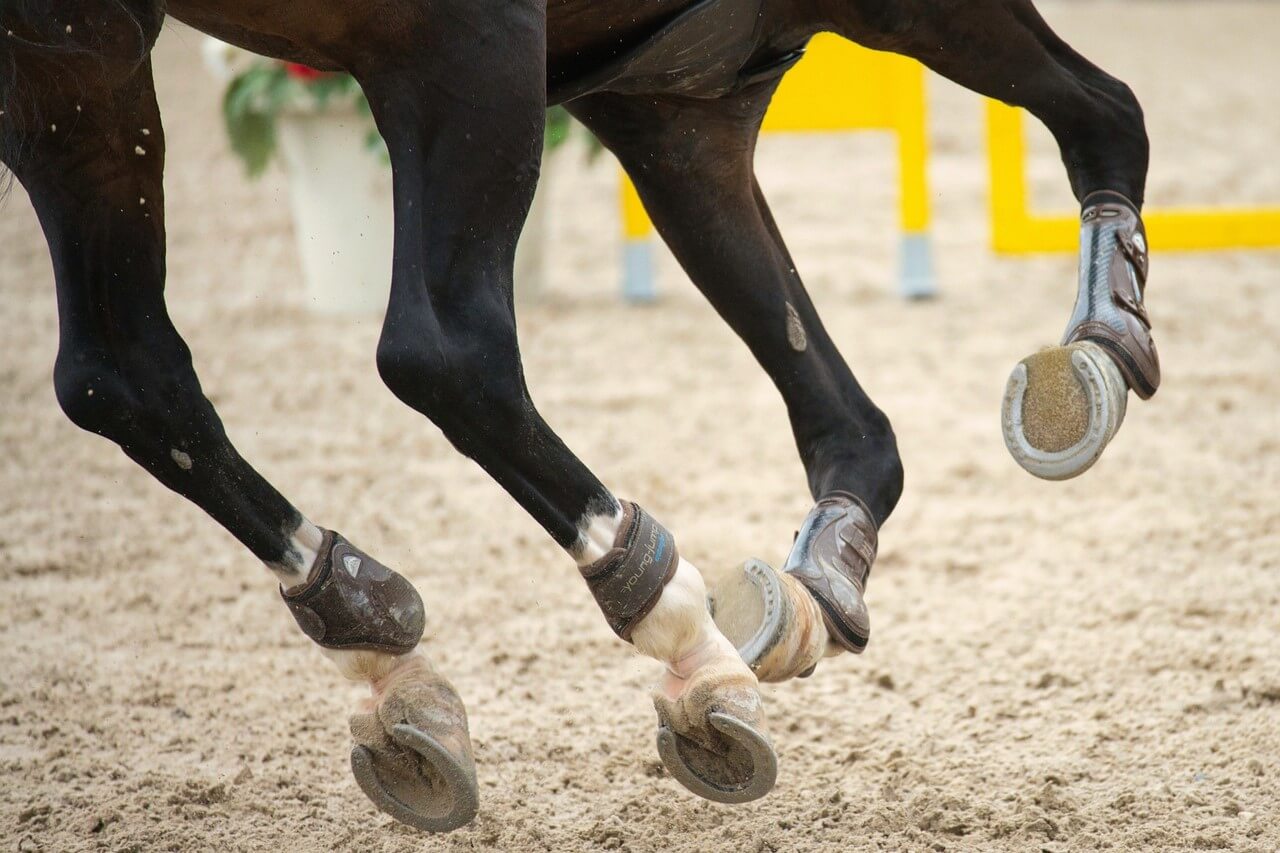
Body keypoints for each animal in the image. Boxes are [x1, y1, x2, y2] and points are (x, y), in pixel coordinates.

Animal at [0, 0, 1158, 833]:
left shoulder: (673, 109)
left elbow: (844, 413)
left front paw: (816, 581)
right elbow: (1104, 111)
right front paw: (1099, 346)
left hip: (85, 57)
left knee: (123, 374)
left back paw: (370, 633)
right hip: (438, 50)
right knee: (432, 352)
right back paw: (647, 621)